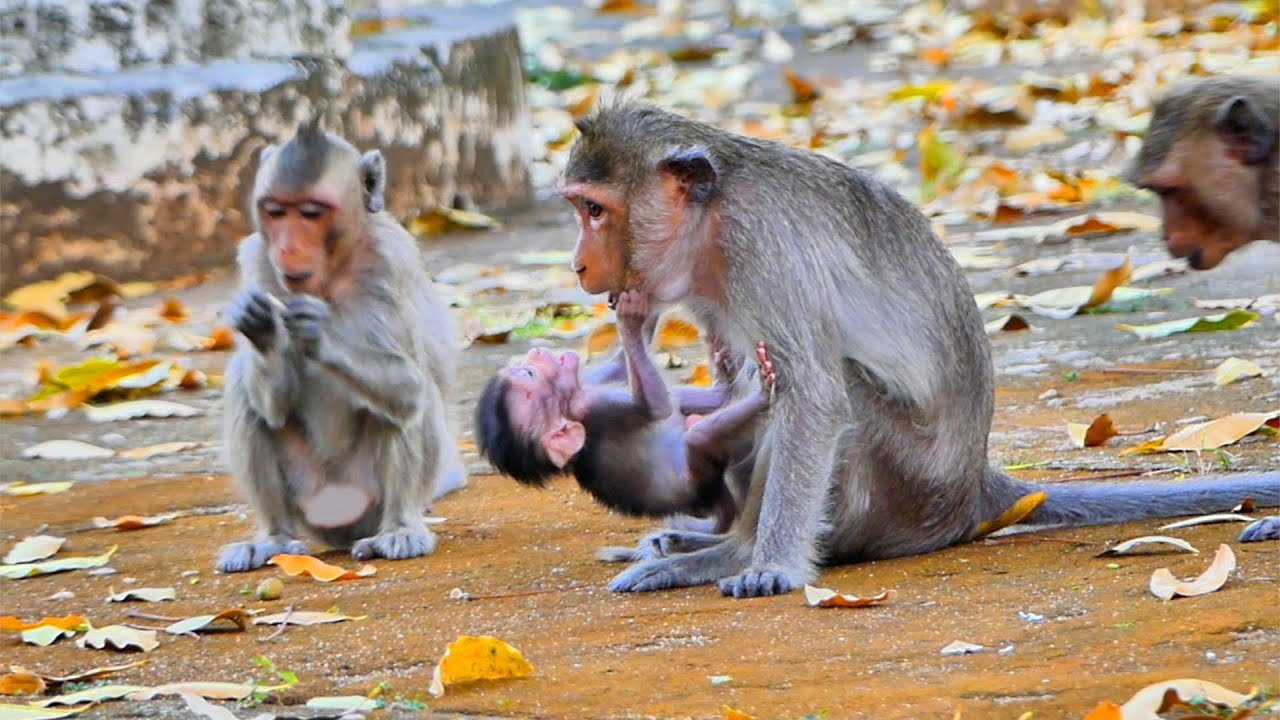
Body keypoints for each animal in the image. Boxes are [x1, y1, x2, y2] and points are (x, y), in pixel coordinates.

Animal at [216, 119, 461, 573]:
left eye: (311, 213)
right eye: (275, 211)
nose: (287, 247)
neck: (330, 274)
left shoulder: (391, 261)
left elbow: (410, 385)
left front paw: (320, 331)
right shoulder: (257, 260)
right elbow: (270, 407)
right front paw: (263, 331)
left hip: (372, 494)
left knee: (404, 402)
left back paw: (399, 530)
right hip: (304, 490)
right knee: (244, 394)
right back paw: (273, 538)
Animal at [475, 290, 772, 554]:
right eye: (530, 373)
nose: (537, 352)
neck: (574, 398)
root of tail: (706, 500)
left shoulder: (589, 383)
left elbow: (620, 369)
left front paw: (638, 306)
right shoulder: (597, 409)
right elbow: (657, 408)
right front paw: (630, 319)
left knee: (686, 401)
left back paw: (723, 379)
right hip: (700, 478)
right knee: (696, 436)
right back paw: (759, 395)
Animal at [560, 99, 1280, 597]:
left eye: (595, 211)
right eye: (577, 209)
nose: (577, 265)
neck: (711, 217)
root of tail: (972, 490)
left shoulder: (758, 246)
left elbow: (813, 400)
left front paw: (768, 565)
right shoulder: (704, 287)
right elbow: (736, 387)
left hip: (904, 491)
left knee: (836, 392)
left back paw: (732, 550)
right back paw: (702, 537)